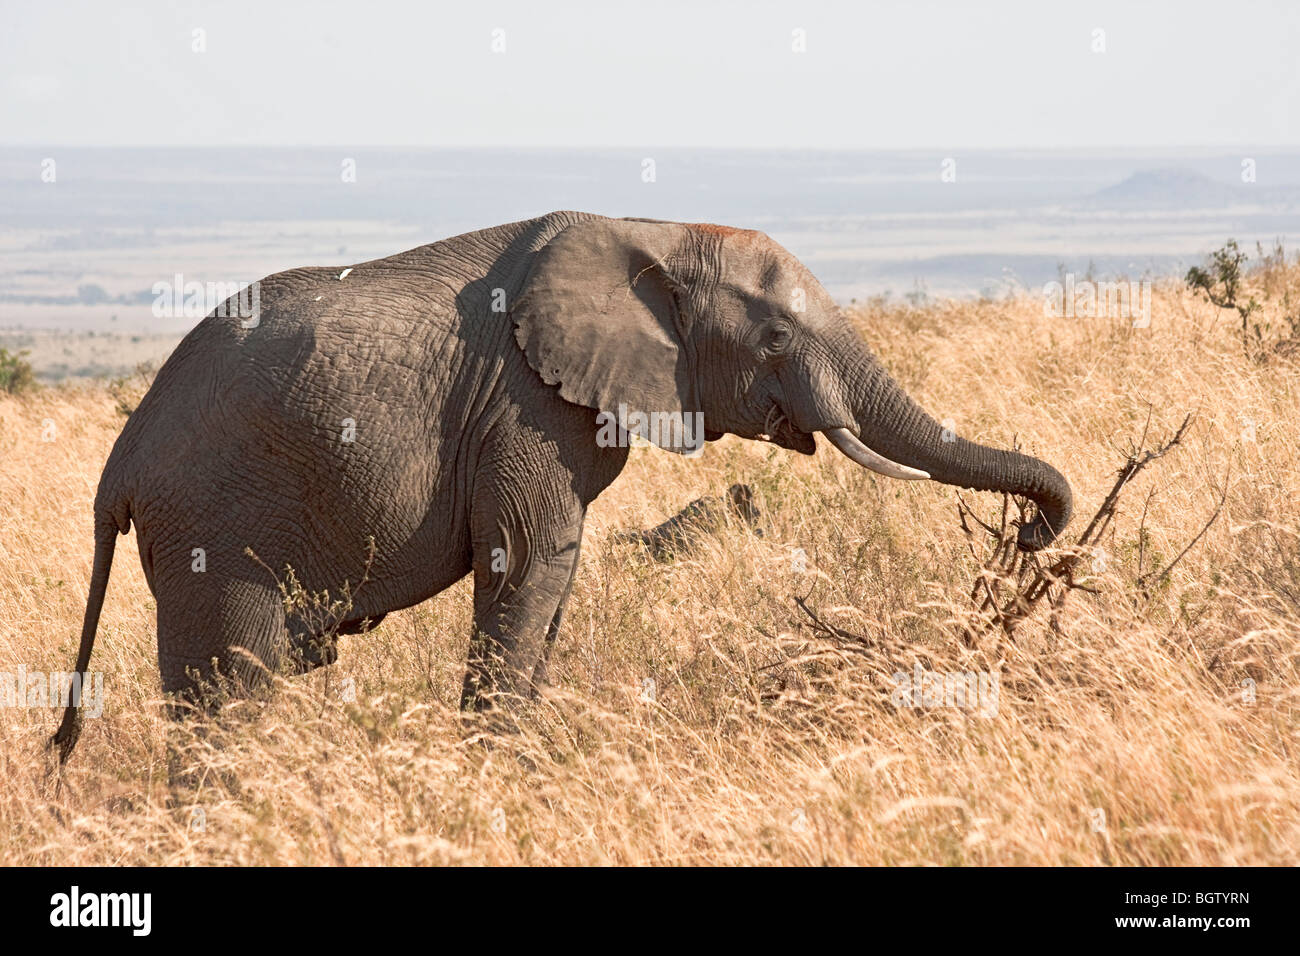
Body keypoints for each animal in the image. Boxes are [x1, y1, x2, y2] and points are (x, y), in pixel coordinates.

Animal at [51, 211, 1072, 760]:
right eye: (776, 338)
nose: (1030, 533)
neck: (659, 232)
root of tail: (119, 463)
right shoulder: (523, 407)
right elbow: (529, 562)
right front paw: (496, 768)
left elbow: (554, 577)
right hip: (211, 530)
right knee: (230, 690)